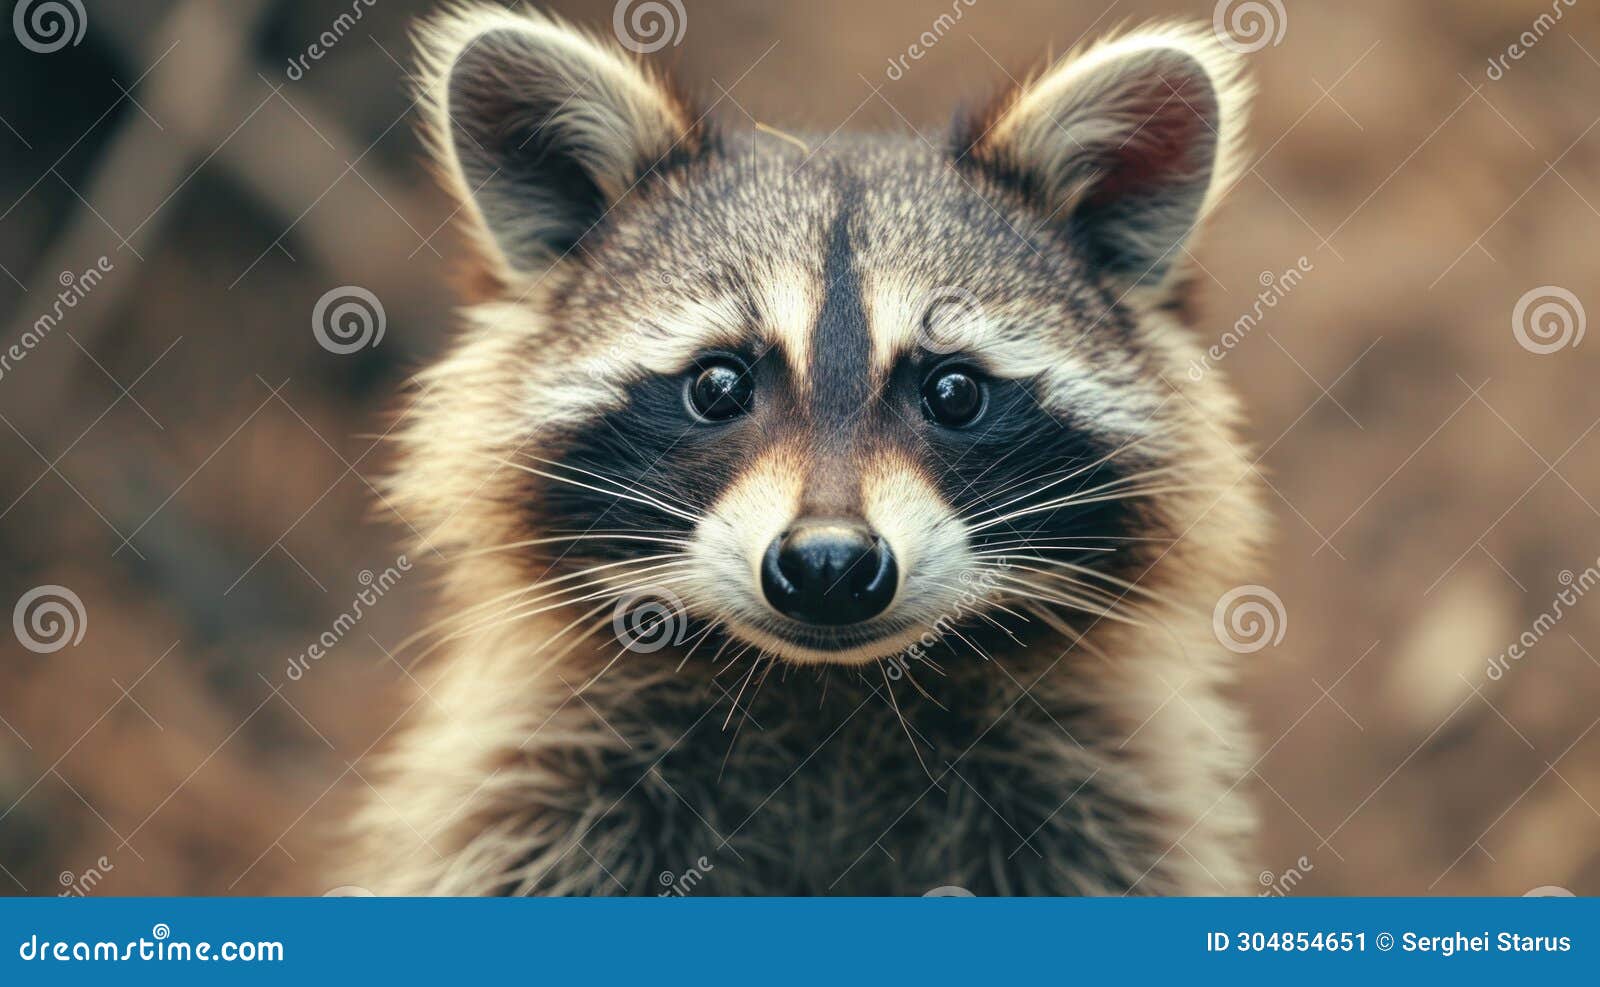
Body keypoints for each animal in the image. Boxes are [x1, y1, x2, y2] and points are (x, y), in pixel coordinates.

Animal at [346, 4, 1268, 896]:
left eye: (954, 392)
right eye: (718, 385)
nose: (828, 564)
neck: (829, 692)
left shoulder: (1094, 800)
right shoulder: (539, 790)